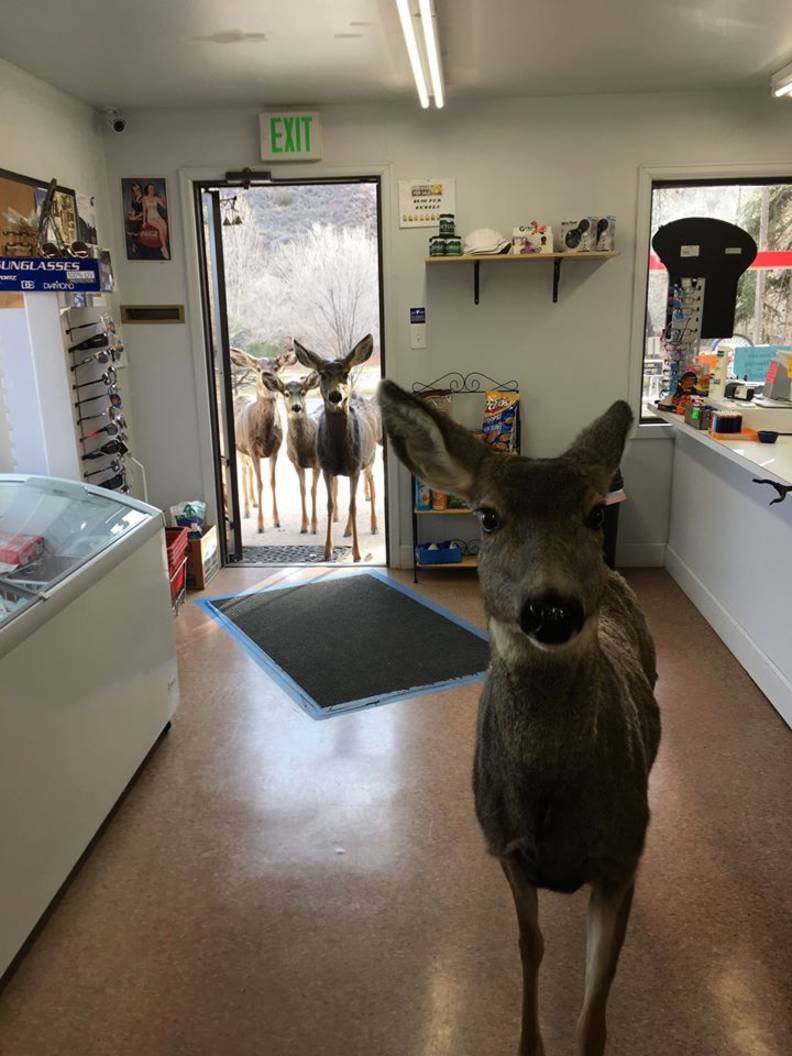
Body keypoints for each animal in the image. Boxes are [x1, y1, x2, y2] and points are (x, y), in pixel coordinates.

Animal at [229, 348, 292, 534]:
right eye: (258, 369)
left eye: (276, 367)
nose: (268, 382)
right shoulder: (252, 448)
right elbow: (260, 484)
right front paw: (260, 525)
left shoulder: (276, 449)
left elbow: (272, 482)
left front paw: (276, 520)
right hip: (238, 447)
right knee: (243, 470)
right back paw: (246, 509)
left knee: (248, 469)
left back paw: (253, 502)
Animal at [258, 369, 322, 534]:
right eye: (286, 393)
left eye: (303, 392)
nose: (296, 407)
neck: (304, 448)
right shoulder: (296, 463)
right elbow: (302, 490)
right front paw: (304, 526)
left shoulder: (317, 462)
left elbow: (313, 490)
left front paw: (314, 526)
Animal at [293, 335, 380, 562]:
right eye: (322, 374)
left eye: (346, 373)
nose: (335, 396)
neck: (340, 452)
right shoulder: (326, 468)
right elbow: (330, 505)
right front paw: (327, 550)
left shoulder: (355, 467)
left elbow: (353, 506)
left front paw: (357, 553)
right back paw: (347, 531)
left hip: (370, 458)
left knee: (371, 486)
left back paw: (374, 526)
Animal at [378, 380, 661, 1056]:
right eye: (487, 515)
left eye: (594, 514)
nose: (551, 609)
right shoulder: (503, 846)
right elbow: (529, 947)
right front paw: (528, 1043)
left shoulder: (622, 856)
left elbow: (597, 997)